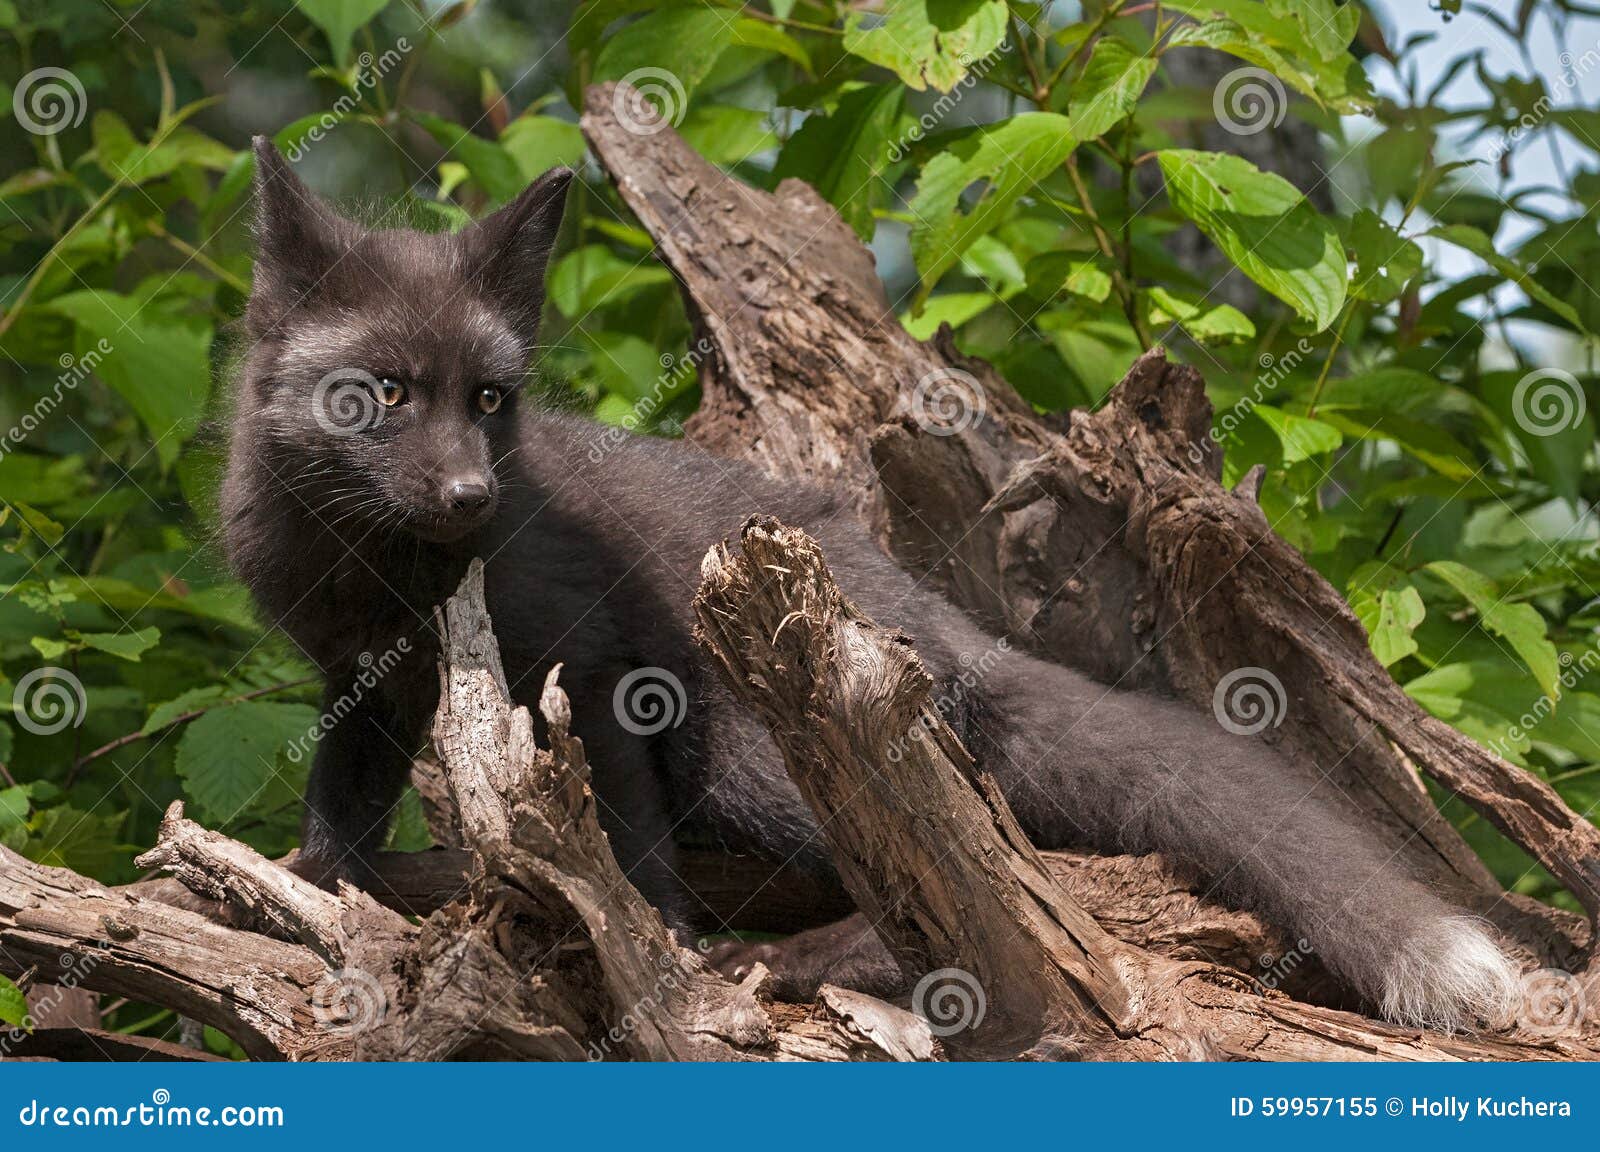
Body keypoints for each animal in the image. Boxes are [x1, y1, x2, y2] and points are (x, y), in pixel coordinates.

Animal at [219, 137, 1521, 1032]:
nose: (468, 498)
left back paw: (805, 962)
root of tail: (943, 632)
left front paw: (655, 954)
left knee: (988, 865)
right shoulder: (364, 677)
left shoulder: (591, 669)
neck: (376, 570)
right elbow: (337, 809)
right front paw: (301, 890)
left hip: (751, 756)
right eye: (387, 391)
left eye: (488, 399)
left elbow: (629, 860)